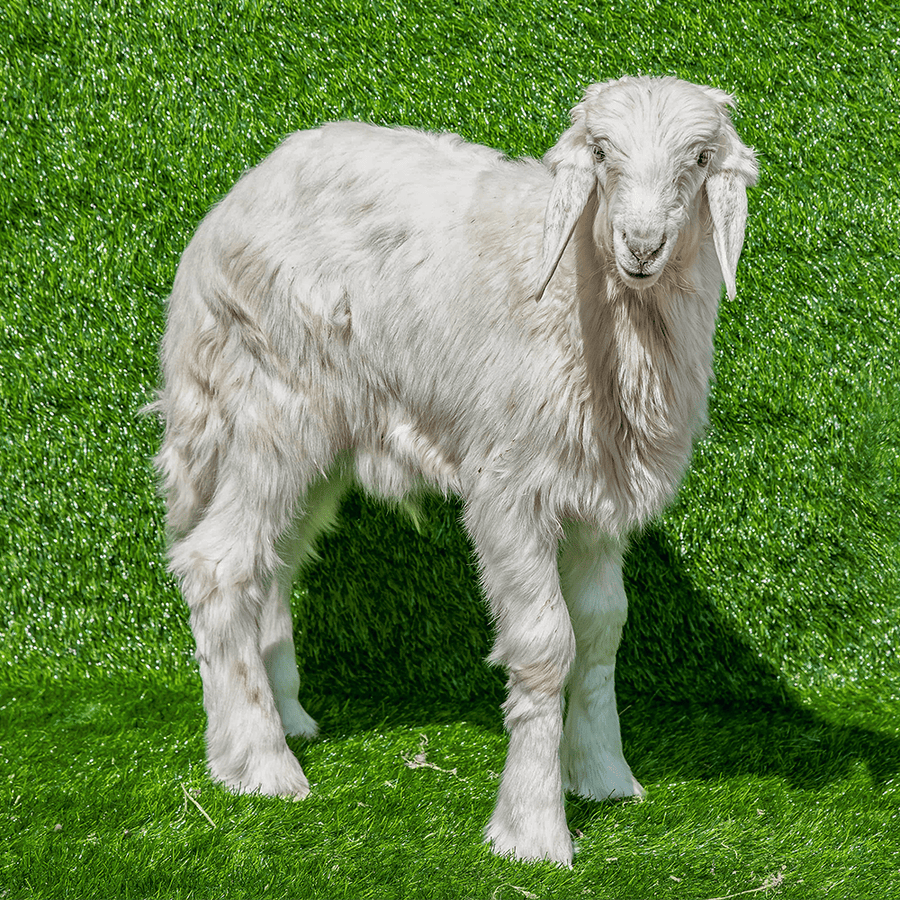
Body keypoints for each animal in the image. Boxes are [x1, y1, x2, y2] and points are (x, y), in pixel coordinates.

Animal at [151, 75, 758, 866]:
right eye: (600, 154)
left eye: (700, 158)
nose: (642, 244)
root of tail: (228, 211)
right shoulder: (511, 485)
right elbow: (547, 644)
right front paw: (533, 826)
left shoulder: (600, 492)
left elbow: (602, 630)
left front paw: (602, 774)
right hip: (274, 398)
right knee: (219, 565)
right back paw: (258, 763)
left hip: (325, 431)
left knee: (274, 565)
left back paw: (287, 717)